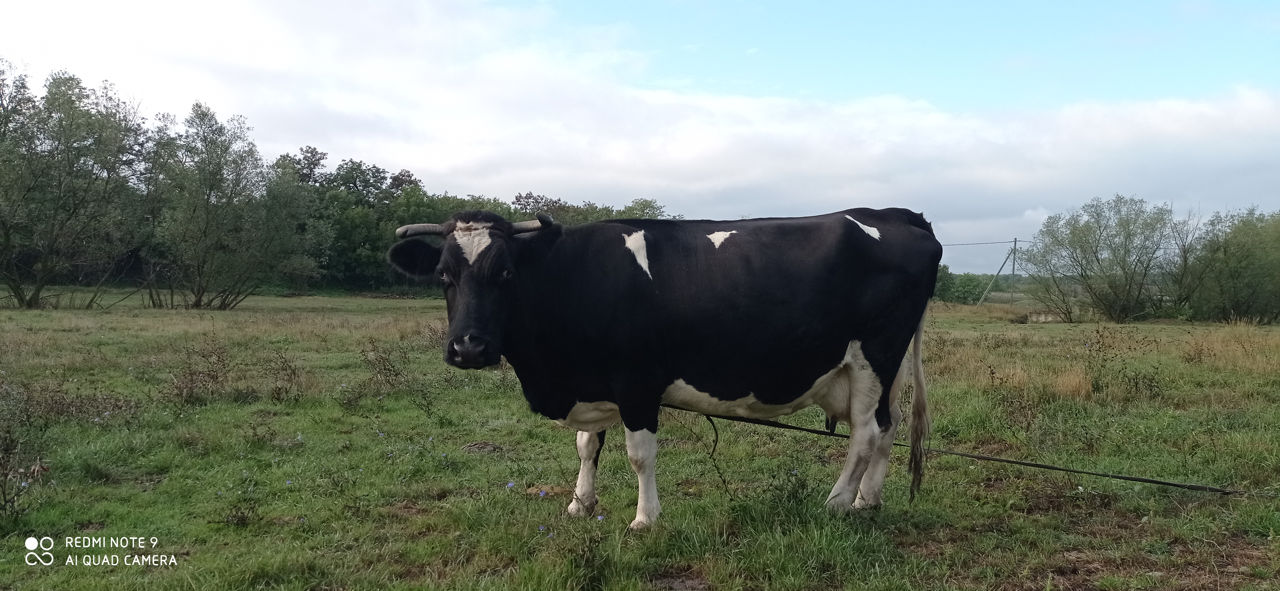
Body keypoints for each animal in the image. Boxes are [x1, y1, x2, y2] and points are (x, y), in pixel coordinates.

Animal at [388, 208, 942, 529]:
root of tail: (896, 214)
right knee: (888, 428)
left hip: (874, 355)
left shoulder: (636, 382)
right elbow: (587, 445)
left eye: (504, 273)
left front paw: (645, 519)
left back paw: (836, 502)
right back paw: (868, 500)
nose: (469, 348)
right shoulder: (597, 381)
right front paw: (581, 503)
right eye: (444, 276)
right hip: (882, 368)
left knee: (866, 433)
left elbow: (639, 455)